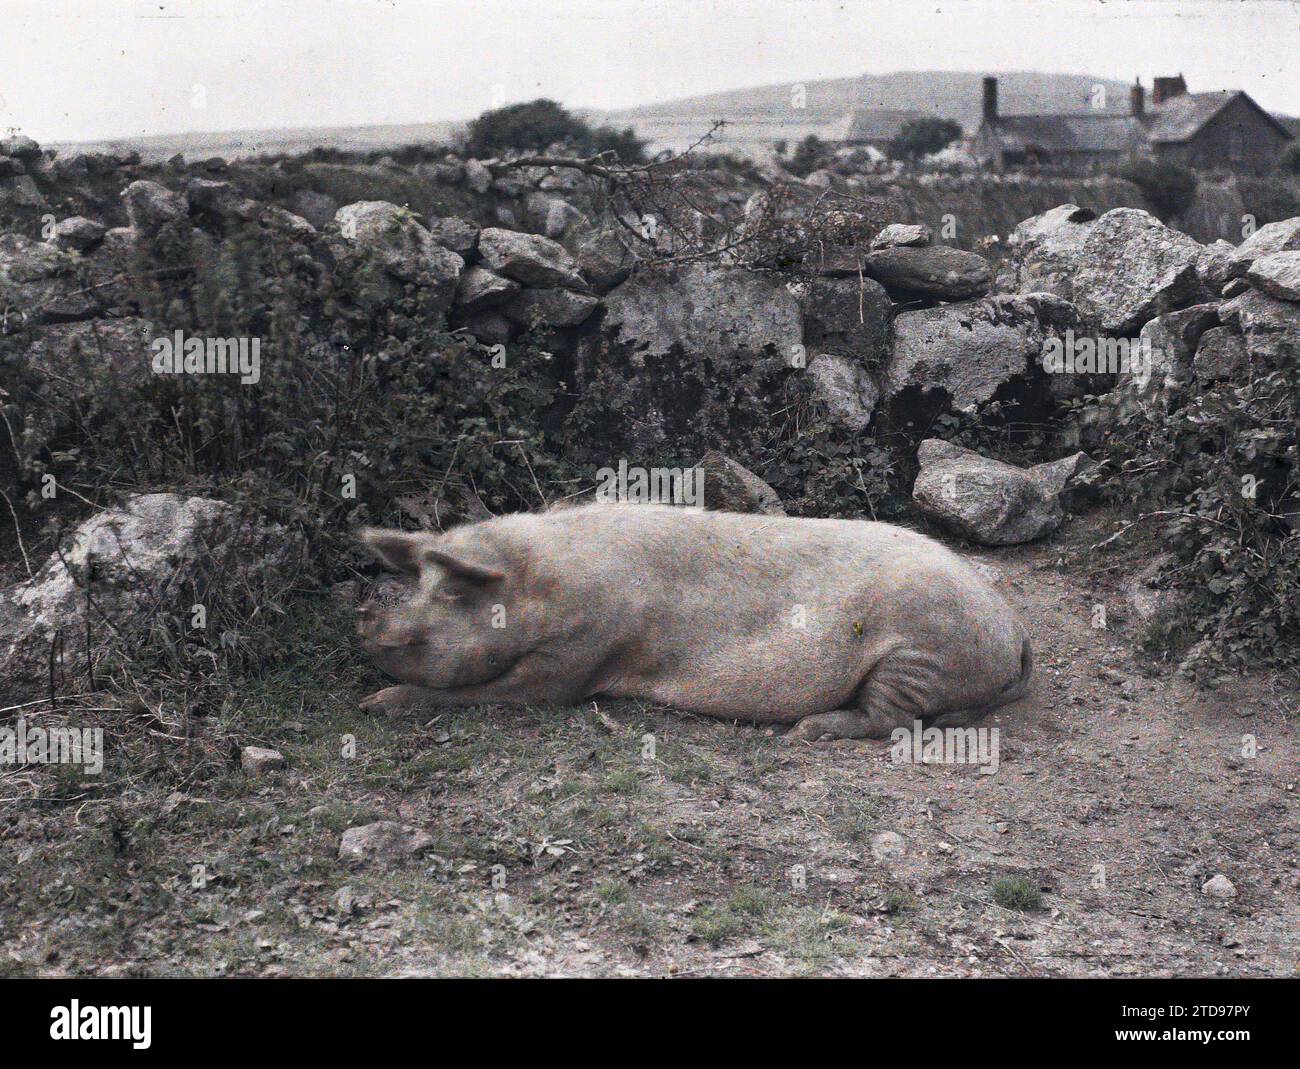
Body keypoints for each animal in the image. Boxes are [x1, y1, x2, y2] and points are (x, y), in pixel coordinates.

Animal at [356, 502, 1032, 741]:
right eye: (420, 582)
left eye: (452, 592)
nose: (366, 620)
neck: (544, 587)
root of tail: (1012, 624)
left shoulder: (583, 655)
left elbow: (510, 691)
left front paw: (375, 705)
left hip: (919, 653)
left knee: (889, 721)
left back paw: (805, 732)